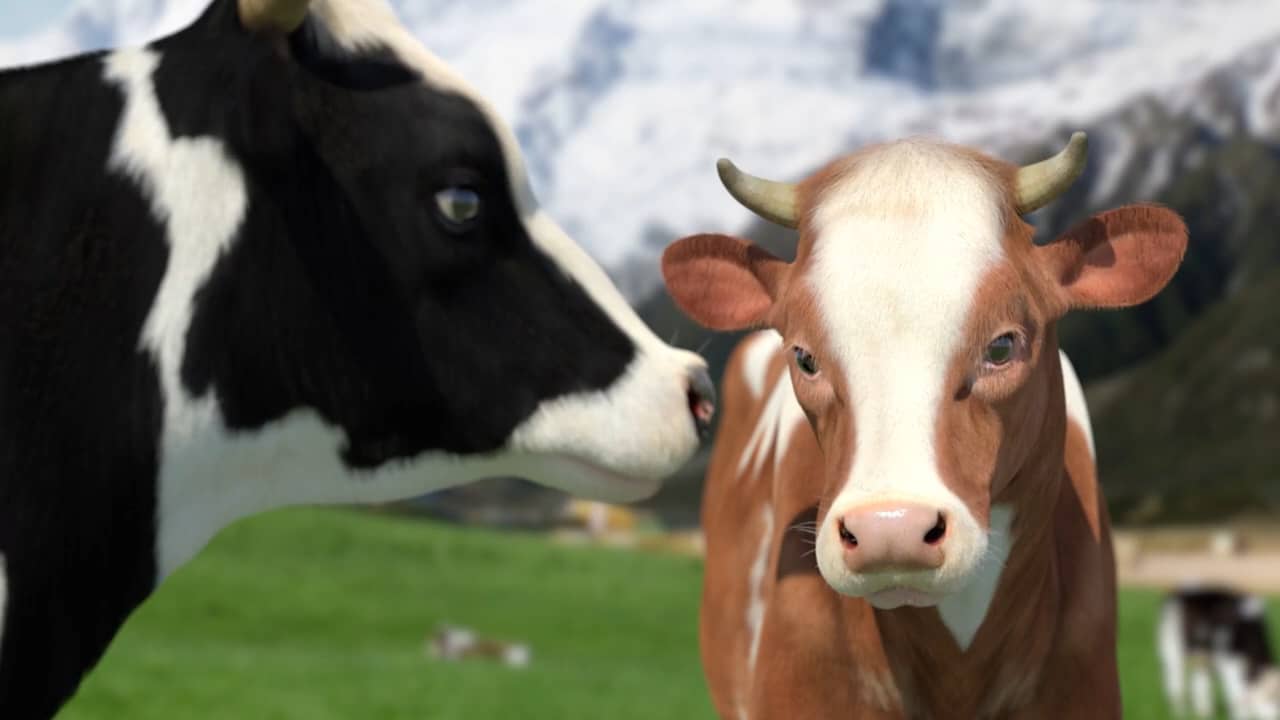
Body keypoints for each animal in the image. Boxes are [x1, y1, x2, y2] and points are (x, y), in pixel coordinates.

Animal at [1159, 585, 1280, 719]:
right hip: (1172, 645)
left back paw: (1204, 712)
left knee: (1200, 678)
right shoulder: (1231, 663)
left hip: (1202, 653)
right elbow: (1236, 695)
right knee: (1175, 677)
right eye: (1270, 698)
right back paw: (1179, 711)